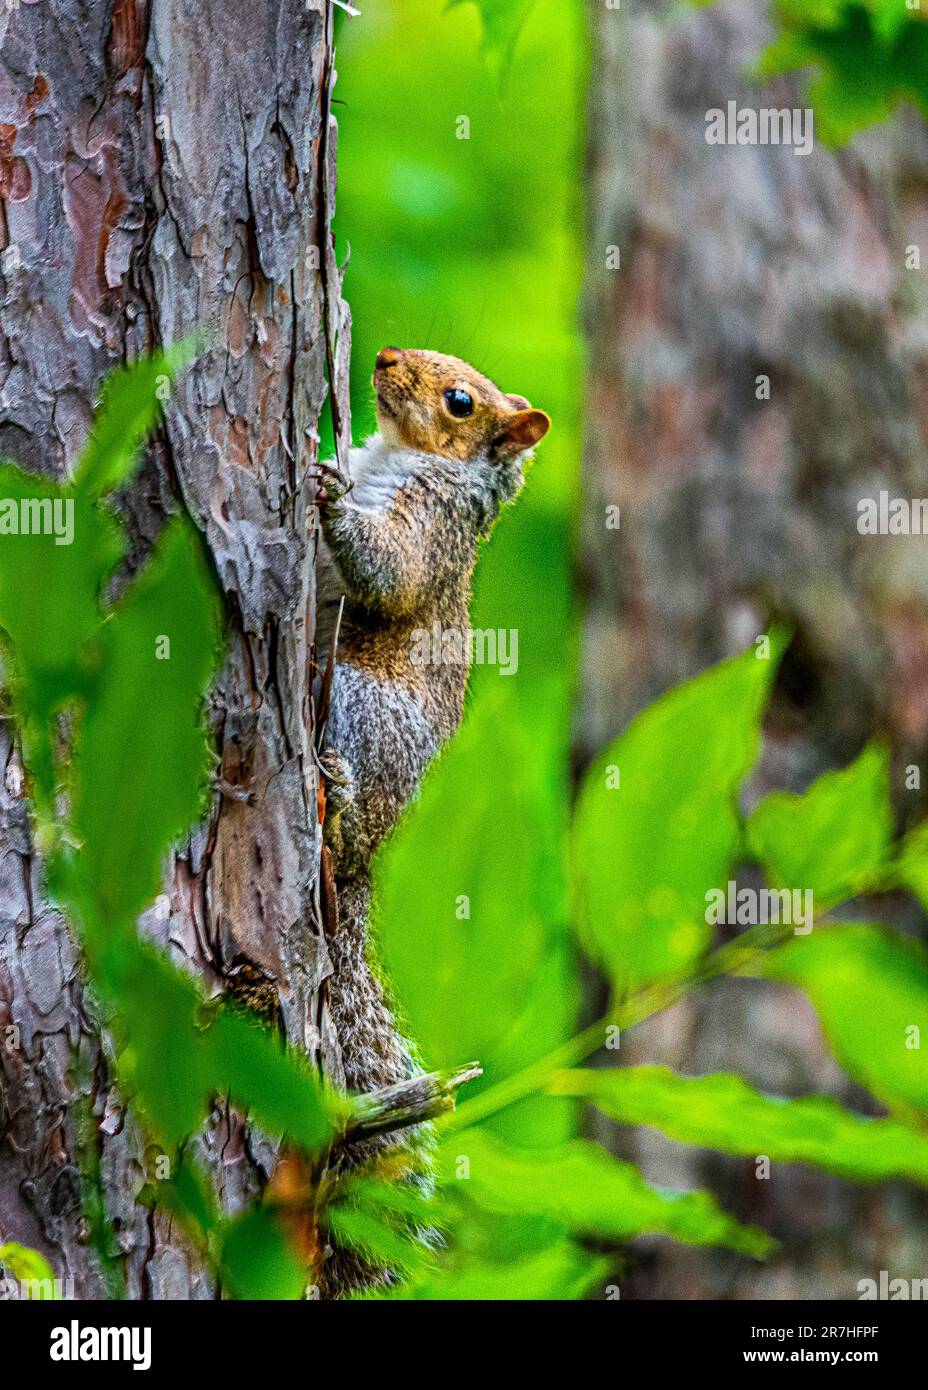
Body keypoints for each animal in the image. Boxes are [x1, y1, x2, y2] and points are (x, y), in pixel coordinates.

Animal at [315, 347, 550, 1102]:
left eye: (460, 401)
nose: (385, 355)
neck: (400, 453)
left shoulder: (431, 521)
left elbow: (390, 571)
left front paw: (330, 499)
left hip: (360, 704)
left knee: (349, 830)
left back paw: (341, 803)